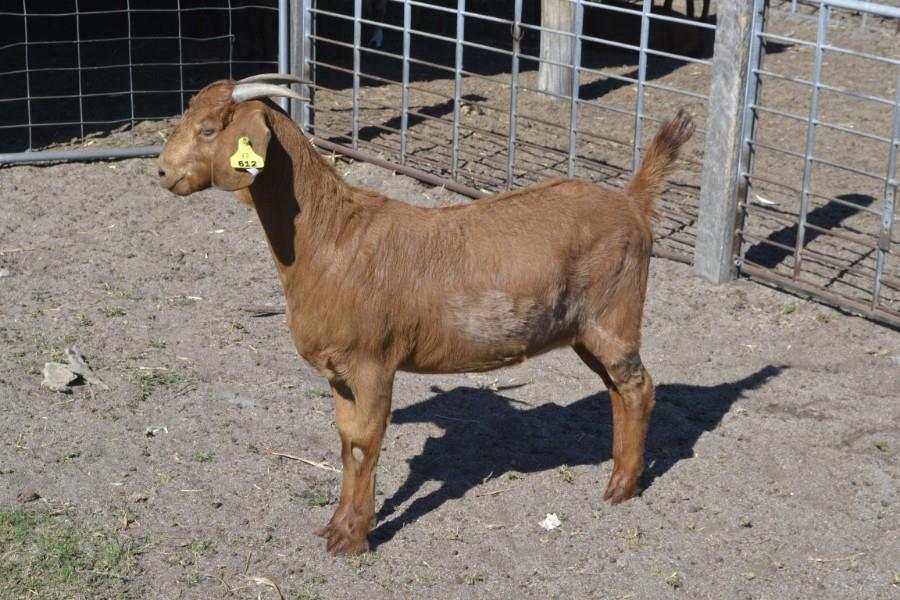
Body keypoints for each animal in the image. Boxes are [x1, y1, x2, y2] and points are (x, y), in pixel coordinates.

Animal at [158, 75, 694, 555]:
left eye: (208, 129)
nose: (162, 172)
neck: (330, 237)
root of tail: (631, 201)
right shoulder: (339, 373)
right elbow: (345, 442)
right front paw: (336, 525)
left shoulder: (372, 363)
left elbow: (364, 444)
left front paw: (353, 539)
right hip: (586, 330)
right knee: (616, 390)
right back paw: (621, 473)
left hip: (614, 316)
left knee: (638, 386)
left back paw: (623, 487)